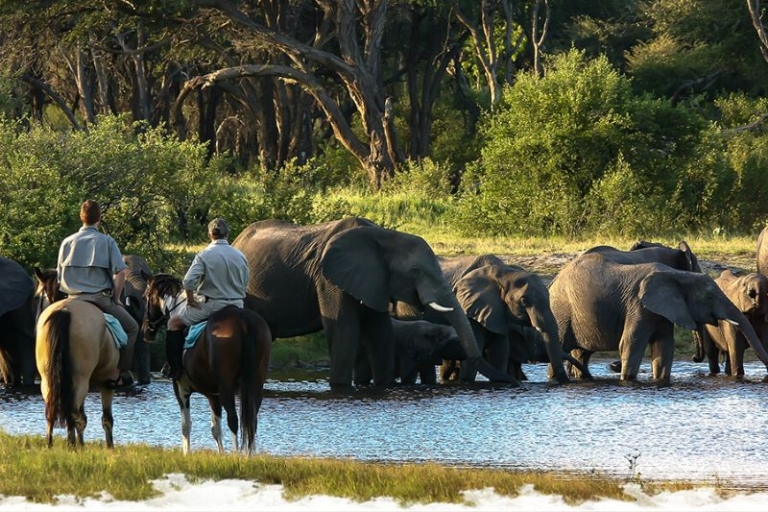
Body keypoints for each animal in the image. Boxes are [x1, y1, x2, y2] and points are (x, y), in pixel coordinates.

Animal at [35, 298, 121, 448]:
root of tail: (64, 309)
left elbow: (83, 417)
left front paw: (82, 445)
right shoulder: (106, 382)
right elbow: (107, 419)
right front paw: (110, 447)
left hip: (48, 379)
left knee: (51, 411)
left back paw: (50, 445)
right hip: (81, 380)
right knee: (73, 412)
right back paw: (71, 445)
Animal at [142, 273, 272, 455]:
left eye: (145, 296)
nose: (146, 330)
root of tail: (244, 322)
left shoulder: (181, 389)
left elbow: (186, 426)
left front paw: (186, 454)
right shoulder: (213, 395)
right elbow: (215, 429)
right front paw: (221, 455)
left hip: (226, 386)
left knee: (233, 418)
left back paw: (237, 455)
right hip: (255, 384)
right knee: (251, 420)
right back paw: (249, 456)